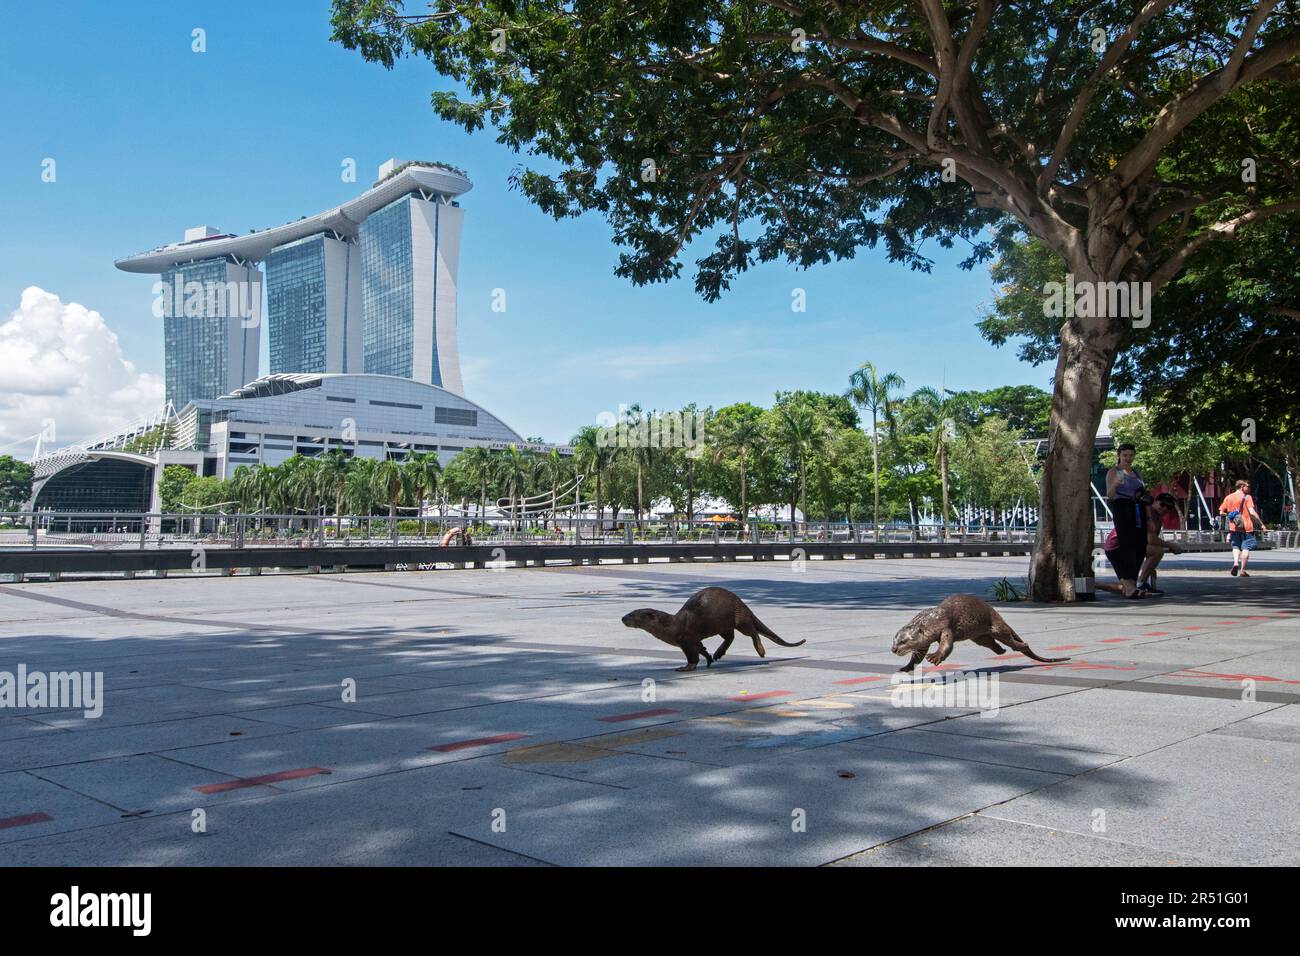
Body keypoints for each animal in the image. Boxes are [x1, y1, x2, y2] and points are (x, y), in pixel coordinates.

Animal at [621, 587, 806, 672]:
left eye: (633, 615)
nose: (622, 618)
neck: (672, 626)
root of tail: (742, 604)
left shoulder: (686, 639)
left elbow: (693, 656)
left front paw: (686, 667)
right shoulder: (694, 640)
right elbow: (701, 648)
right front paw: (709, 658)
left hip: (739, 618)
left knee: (752, 631)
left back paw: (760, 651)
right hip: (723, 624)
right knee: (730, 636)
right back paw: (718, 653)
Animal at [891, 594, 1070, 672]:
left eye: (904, 641)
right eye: (894, 640)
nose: (893, 649)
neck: (932, 620)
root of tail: (994, 612)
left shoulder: (945, 627)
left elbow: (947, 645)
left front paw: (935, 657)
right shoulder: (926, 640)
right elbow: (918, 655)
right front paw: (906, 667)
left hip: (997, 626)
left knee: (1012, 640)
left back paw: (1021, 645)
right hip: (978, 635)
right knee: (989, 642)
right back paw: (1001, 651)